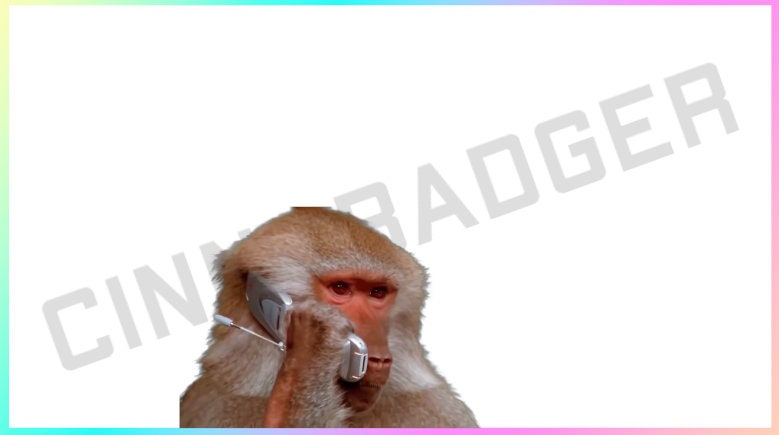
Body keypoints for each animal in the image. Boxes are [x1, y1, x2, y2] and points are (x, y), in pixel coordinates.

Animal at [179, 207, 478, 428]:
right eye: (341, 288)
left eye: (378, 292)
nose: (379, 358)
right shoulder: (219, 405)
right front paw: (315, 344)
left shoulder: (440, 409)